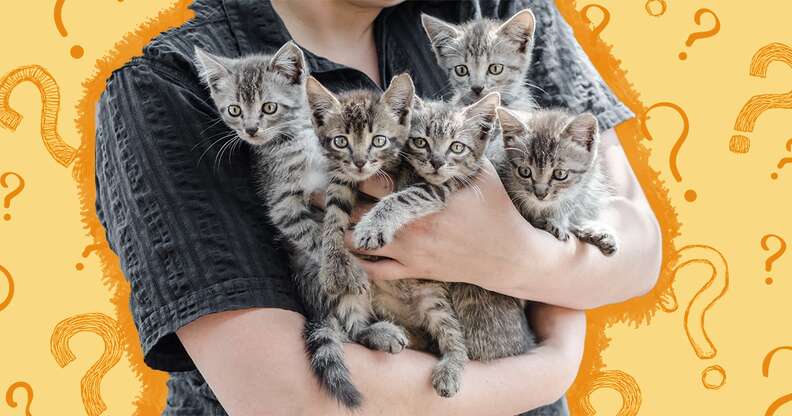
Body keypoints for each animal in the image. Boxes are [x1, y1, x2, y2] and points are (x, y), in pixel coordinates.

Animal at [352, 92, 502, 398]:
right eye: (421, 142)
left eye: (457, 147)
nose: (436, 162)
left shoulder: (440, 188)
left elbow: (401, 198)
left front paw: (372, 226)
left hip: (436, 303)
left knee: (454, 340)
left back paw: (450, 369)